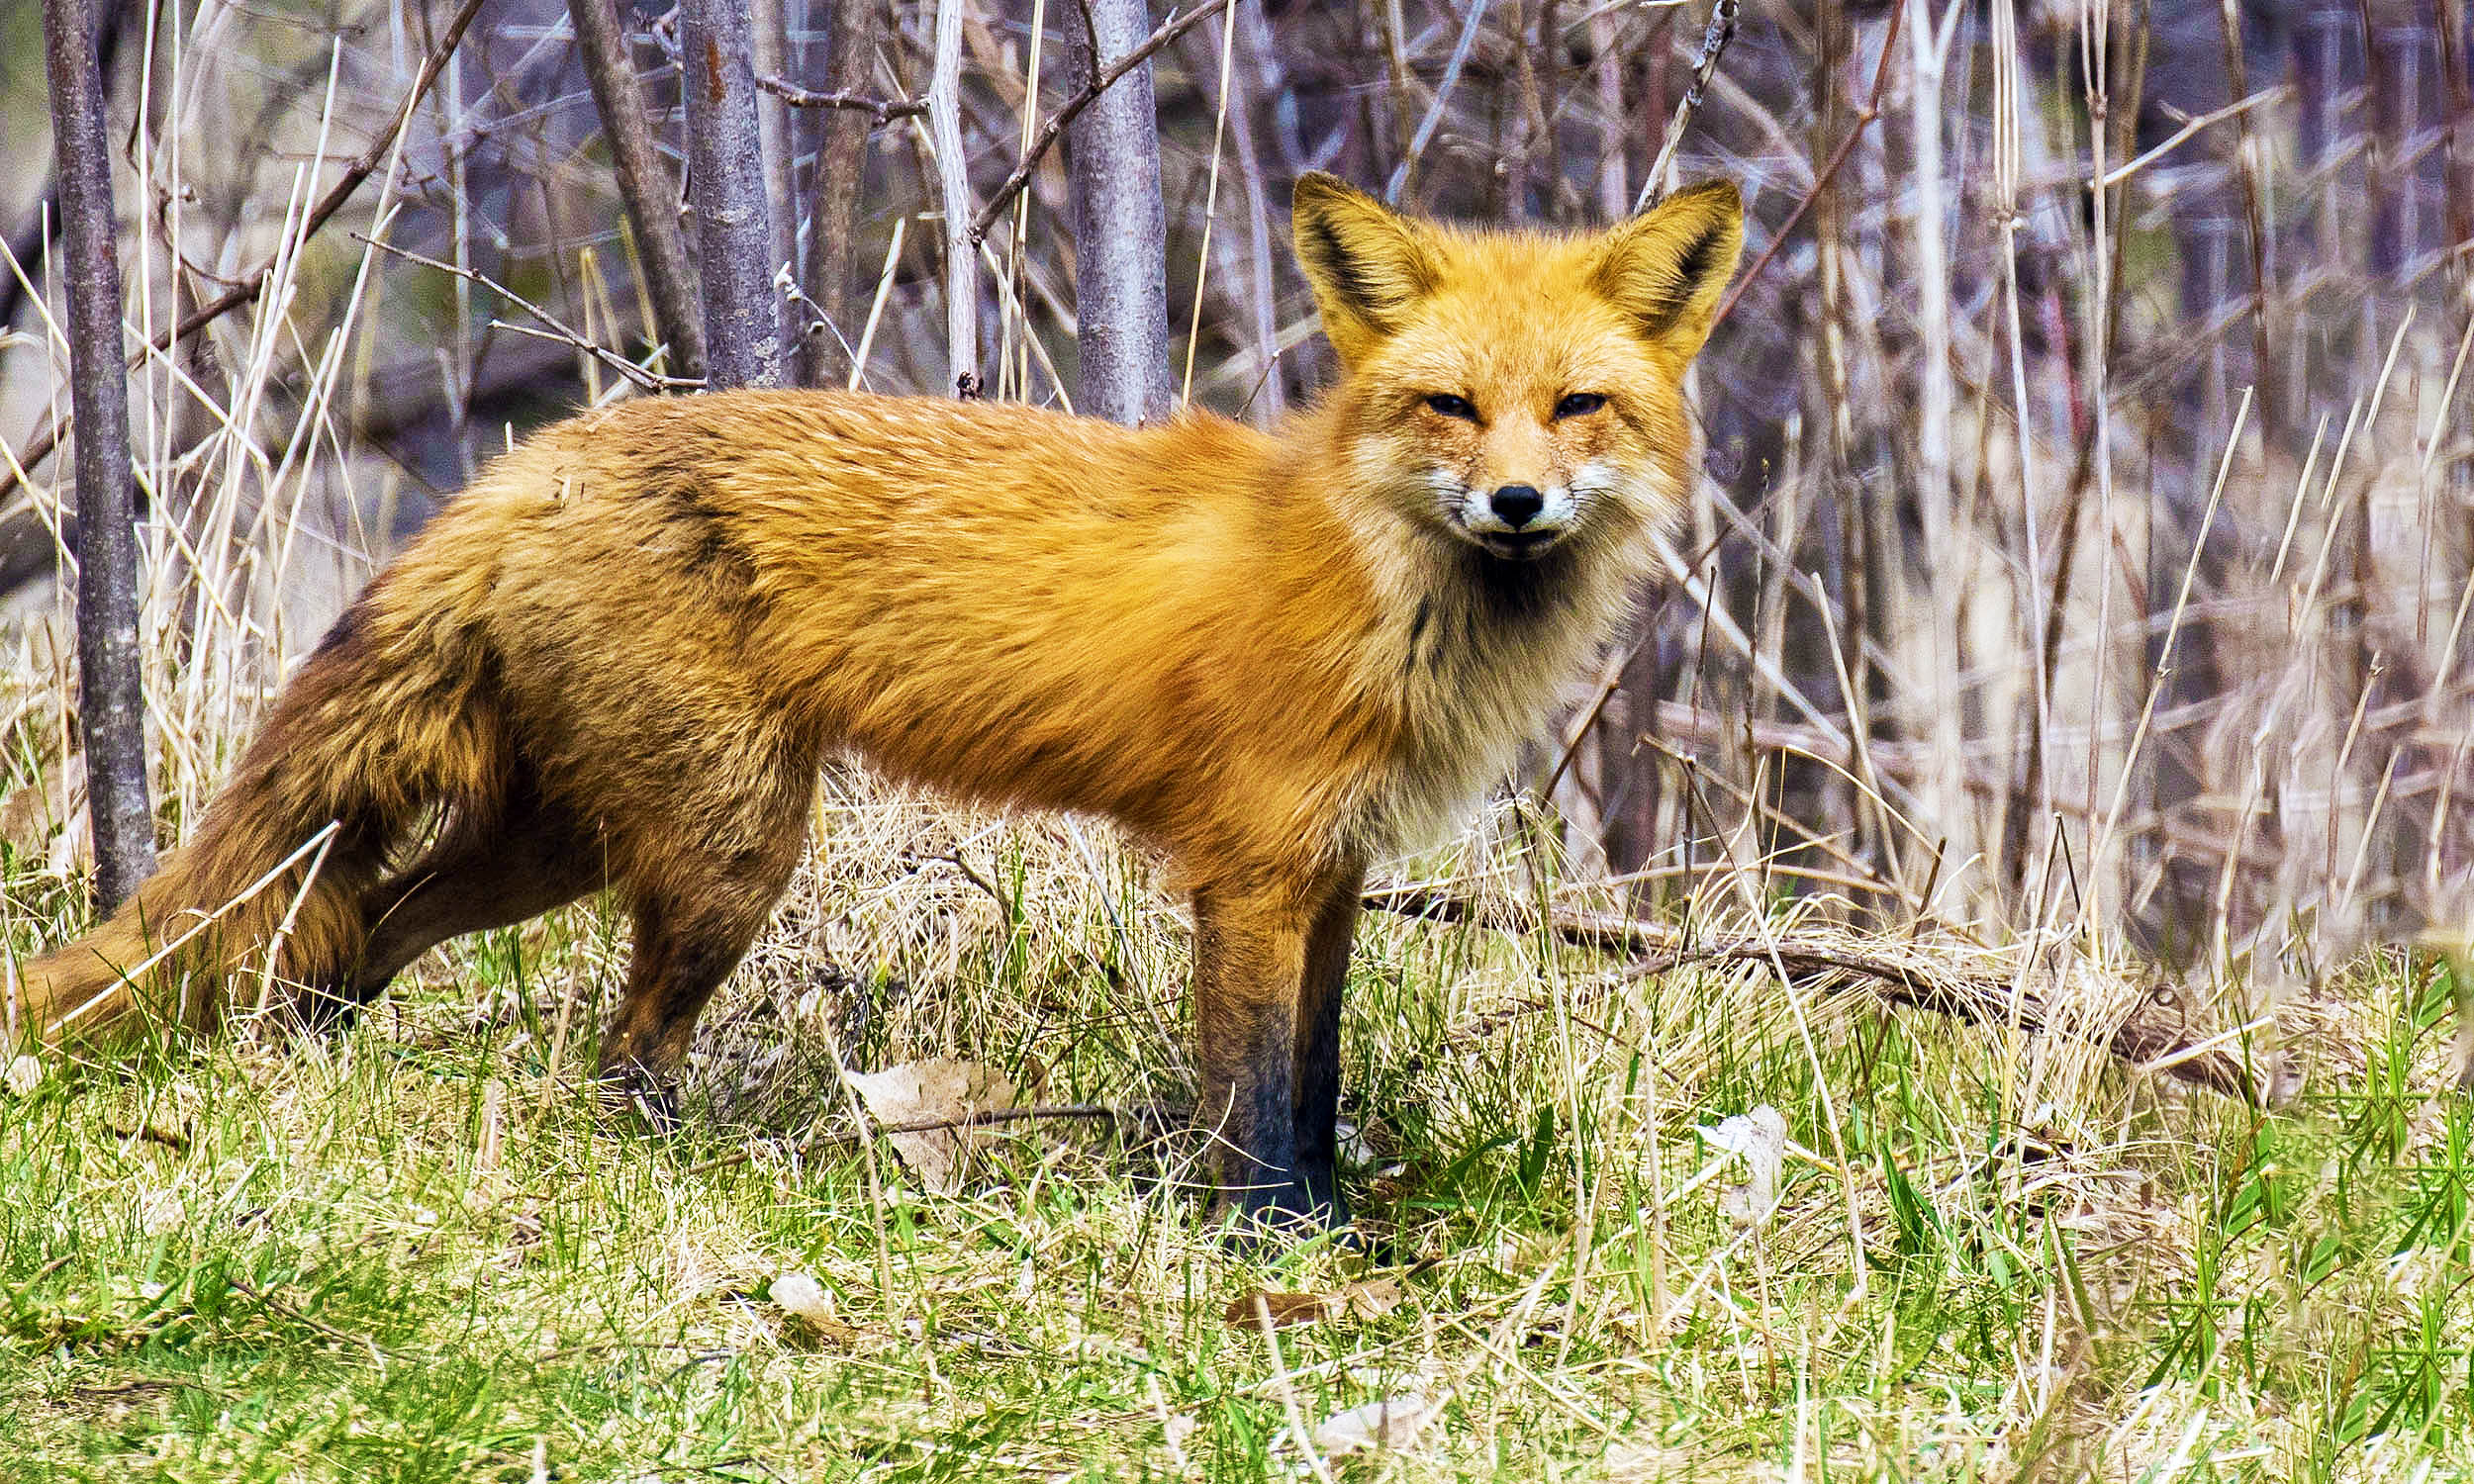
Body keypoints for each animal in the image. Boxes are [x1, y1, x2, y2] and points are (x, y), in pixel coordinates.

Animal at [5, 173, 1743, 1231]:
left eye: (1578, 406)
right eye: (1449, 406)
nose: (1516, 501)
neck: (1384, 592)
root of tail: (546, 456)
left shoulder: (1335, 870)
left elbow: (1310, 1084)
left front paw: (1328, 1225)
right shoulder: (1250, 869)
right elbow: (1251, 1098)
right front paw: (1264, 1249)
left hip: (561, 841)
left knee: (354, 927)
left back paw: (310, 1065)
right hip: (727, 850)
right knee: (612, 1044)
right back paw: (674, 1159)